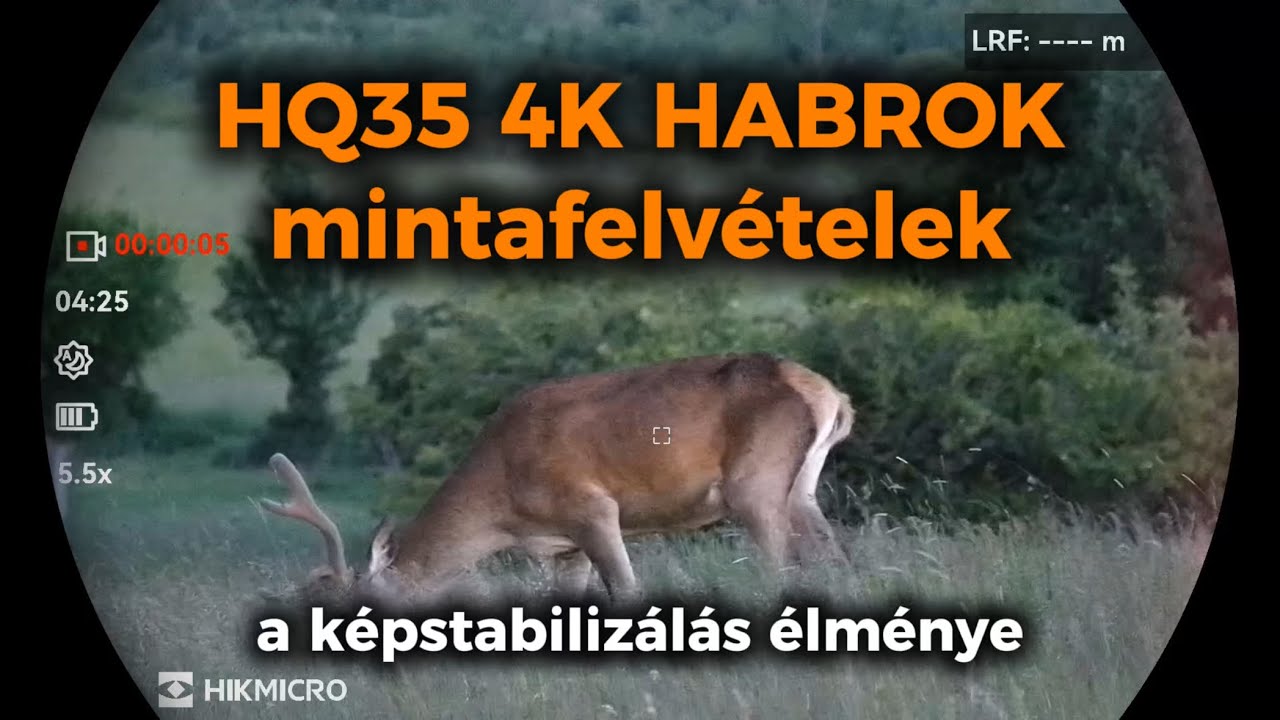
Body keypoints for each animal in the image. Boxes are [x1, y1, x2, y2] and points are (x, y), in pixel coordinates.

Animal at [259, 352, 856, 609]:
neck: (502, 500)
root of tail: (831, 393)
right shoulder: (565, 548)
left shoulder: (593, 510)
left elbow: (627, 591)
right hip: (802, 489)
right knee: (835, 560)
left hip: (754, 485)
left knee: (780, 566)